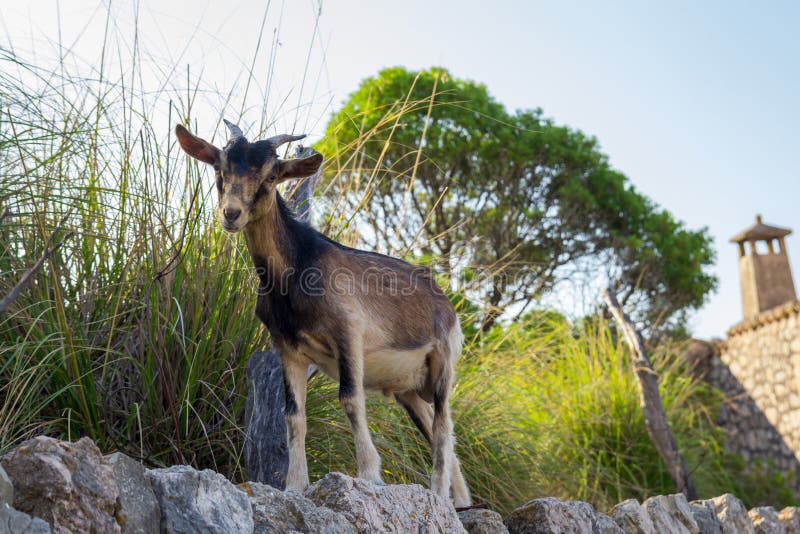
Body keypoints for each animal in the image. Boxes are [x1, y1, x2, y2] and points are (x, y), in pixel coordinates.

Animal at [175, 120, 471, 507]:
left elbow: (350, 398)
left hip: (442, 363)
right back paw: (461, 501)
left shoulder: (348, 333)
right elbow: (293, 416)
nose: (232, 214)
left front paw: (370, 476)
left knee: (443, 426)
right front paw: (295, 486)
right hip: (408, 388)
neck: (299, 269)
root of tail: (447, 304)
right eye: (219, 168)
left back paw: (438, 496)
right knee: (438, 431)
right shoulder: (287, 348)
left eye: (271, 175)